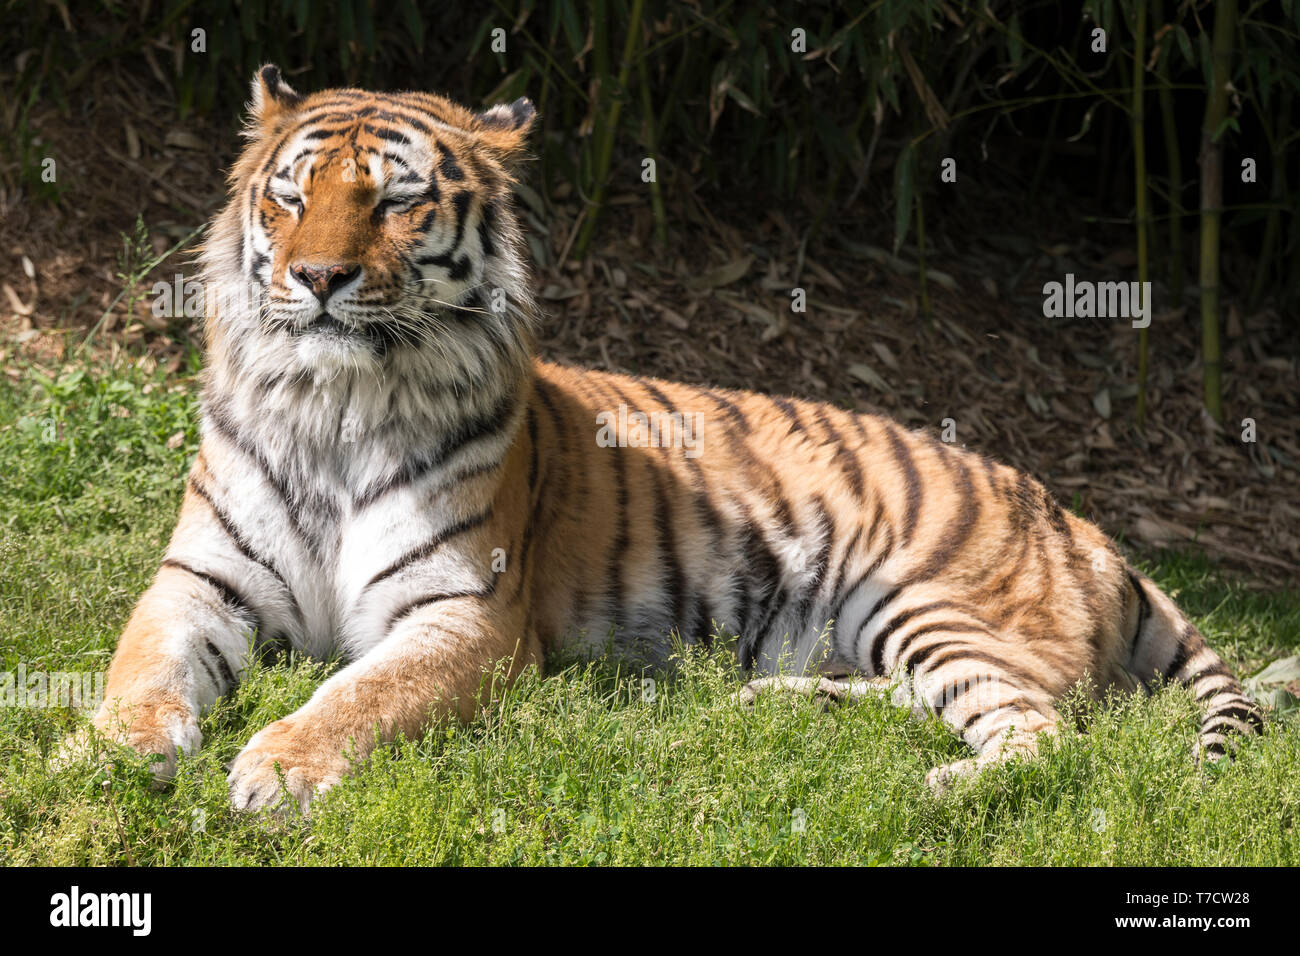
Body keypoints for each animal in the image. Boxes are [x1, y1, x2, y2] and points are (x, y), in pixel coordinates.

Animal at [71, 65, 1264, 812]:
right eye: (289, 197)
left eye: (396, 204)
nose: (317, 279)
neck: (334, 402)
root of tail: (1088, 526)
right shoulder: (199, 579)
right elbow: (139, 667)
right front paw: (107, 752)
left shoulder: (464, 614)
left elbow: (356, 697)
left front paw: (275, 769)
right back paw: (775, 701)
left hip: (929, 598)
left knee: (1046, 736)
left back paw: (939, 789)